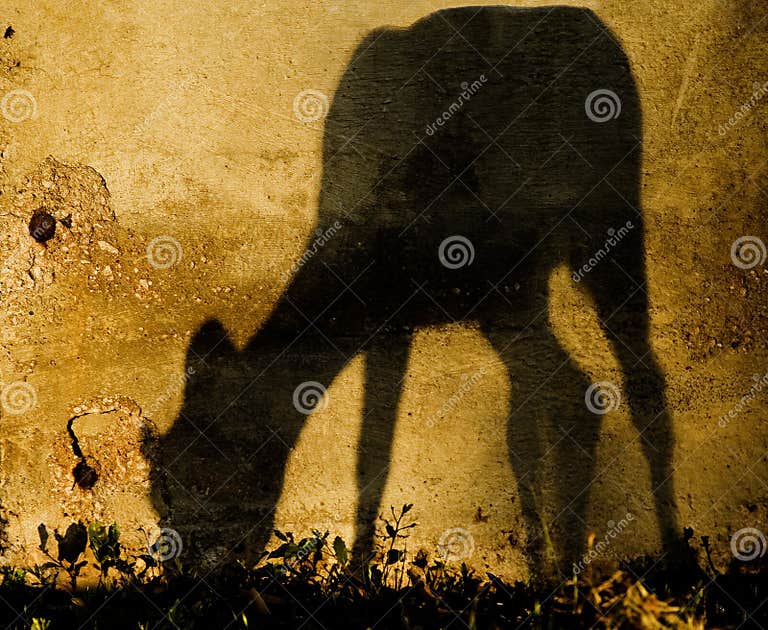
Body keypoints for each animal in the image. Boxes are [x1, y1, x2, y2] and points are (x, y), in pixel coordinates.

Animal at [150, 5, 678, 576]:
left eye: (211, 479)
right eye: (161, 492)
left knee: (623, 378)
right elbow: (377, 451)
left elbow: (381, 449)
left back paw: (657, 560)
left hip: (610, 218)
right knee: (572, 392)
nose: (182, 567)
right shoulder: (413, 311)